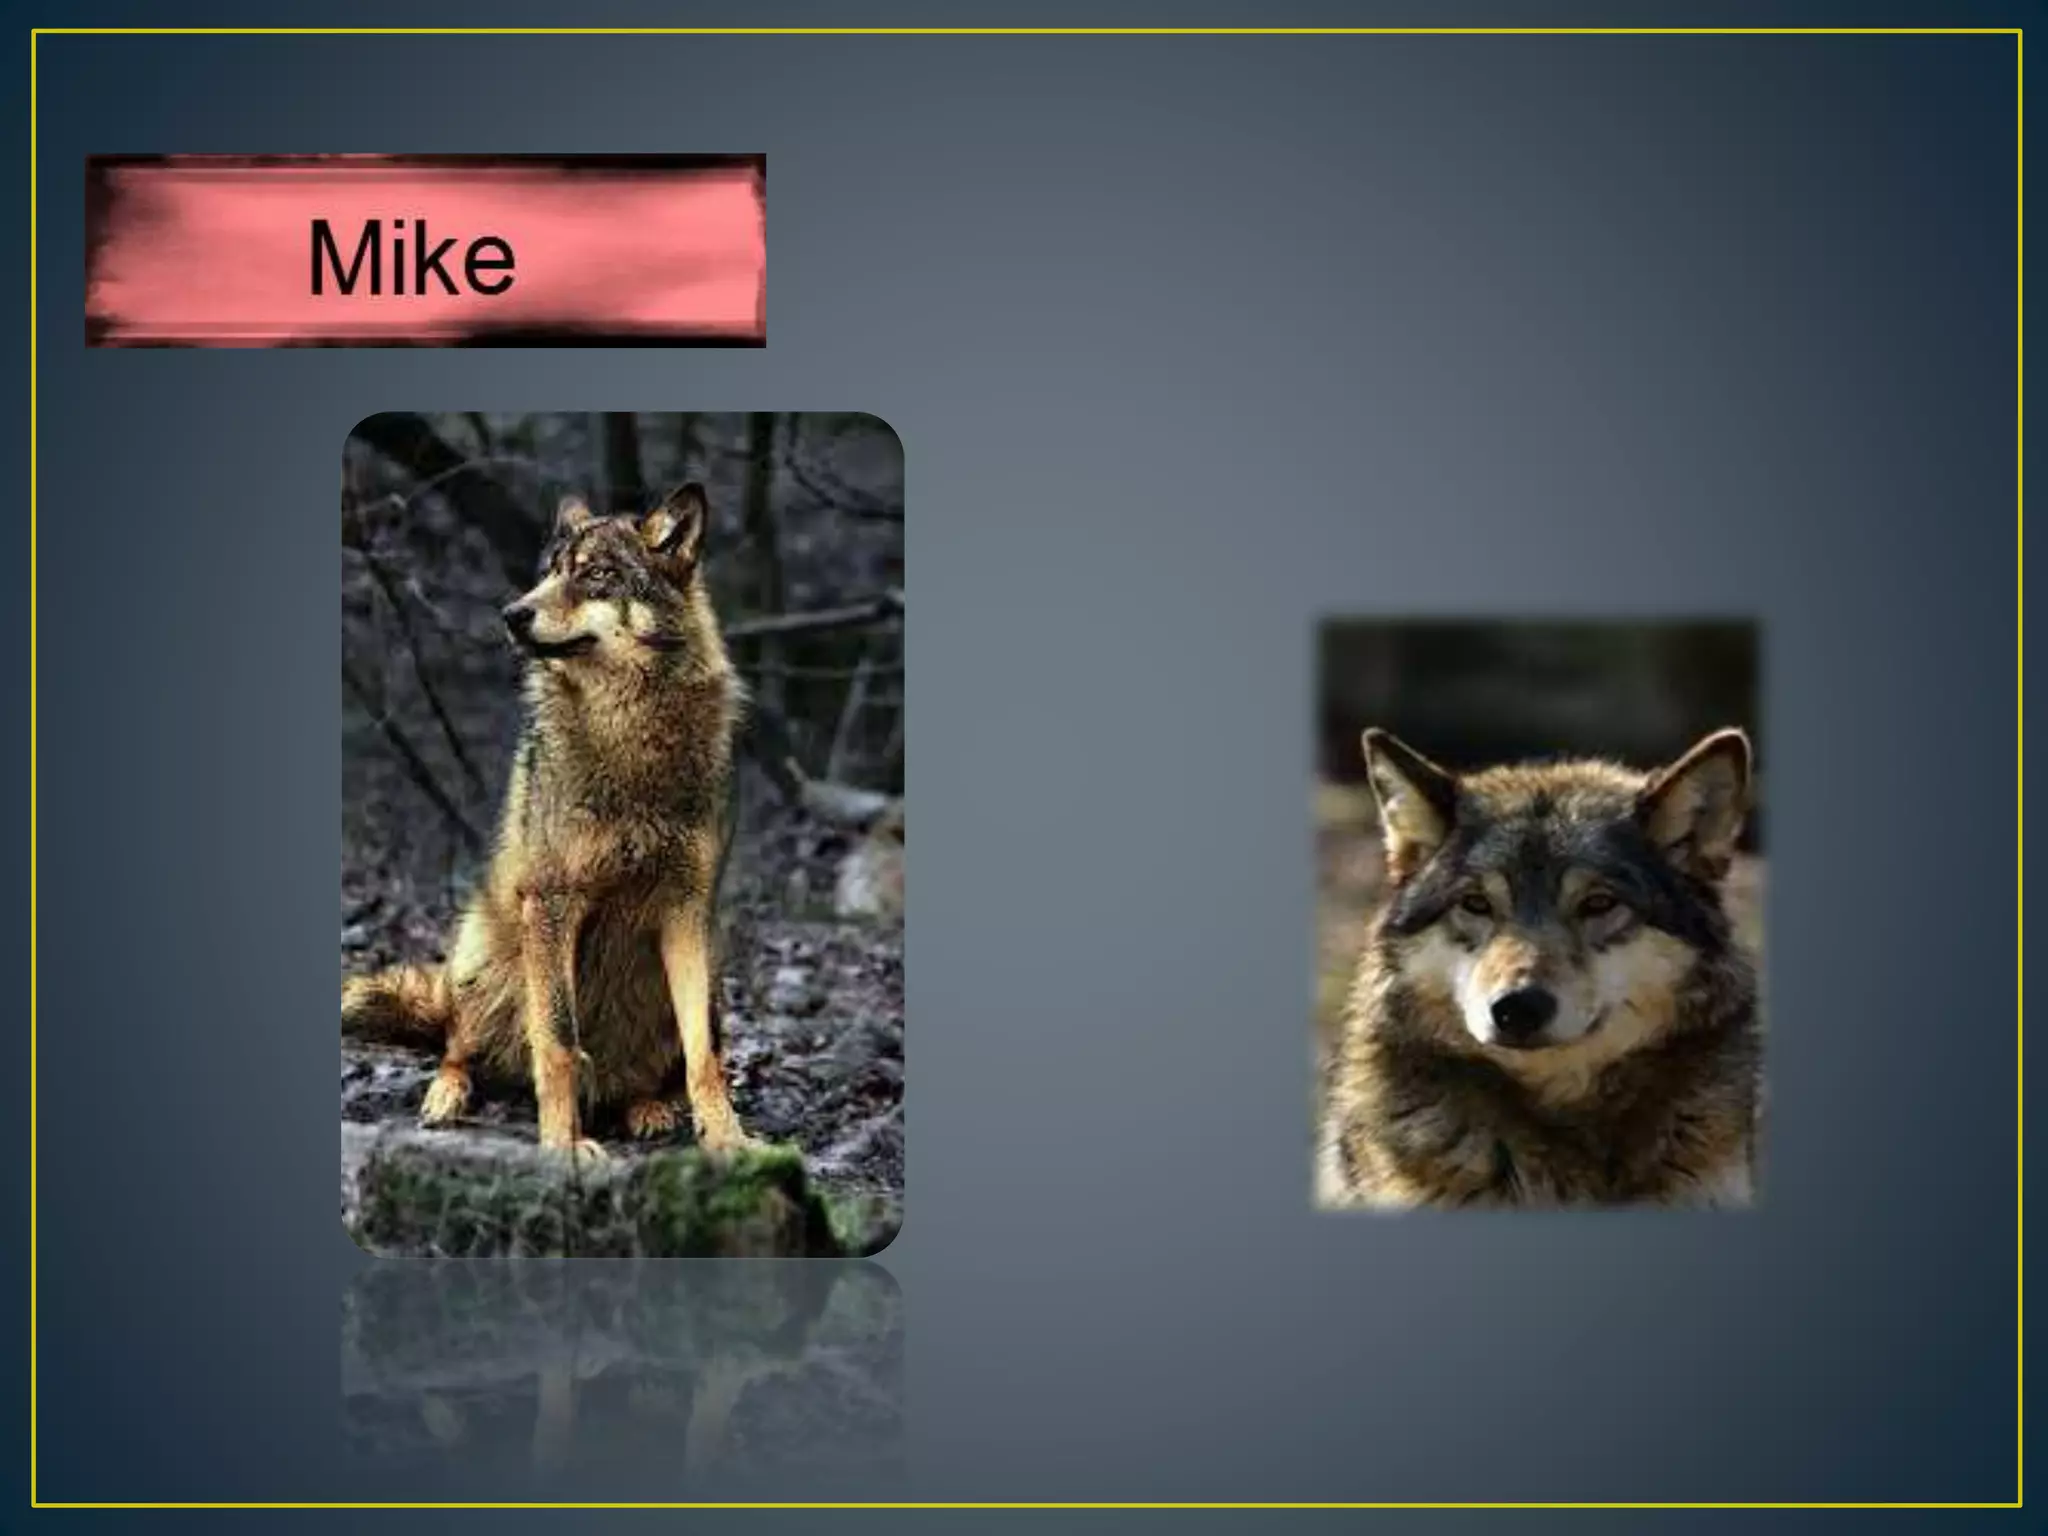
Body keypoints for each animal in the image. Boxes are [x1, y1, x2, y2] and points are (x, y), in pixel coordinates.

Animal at [343, 483, 758, 1162]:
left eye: (594, 574)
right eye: (548, 572)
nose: (511, 613)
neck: (628, 737)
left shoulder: (687, 907)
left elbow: (705, 1054)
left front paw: (729, 1139)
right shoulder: (552, 902)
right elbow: (559, 1042)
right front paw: (564, 1147)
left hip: (712, 975)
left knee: (651, 1073)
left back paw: (647, 1108)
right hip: (486, 960)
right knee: (455, 1044)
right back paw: (447, 1096)